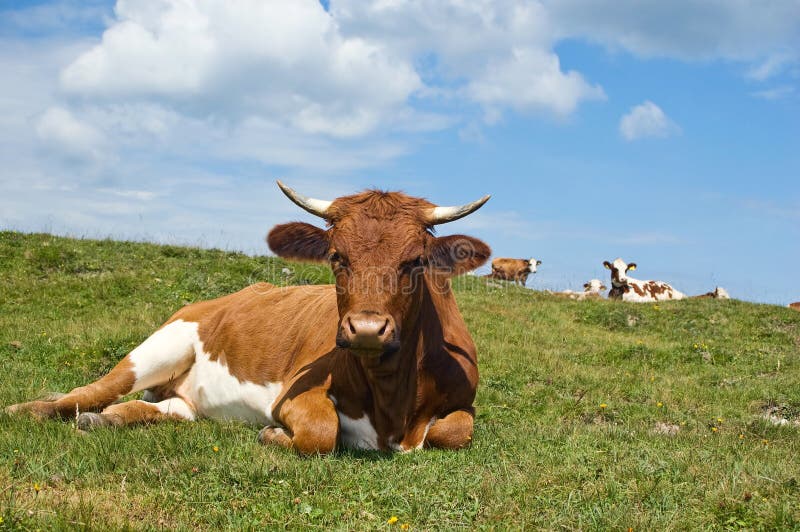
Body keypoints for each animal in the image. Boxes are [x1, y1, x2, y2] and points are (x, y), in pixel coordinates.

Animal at [6, 182, 492, 455]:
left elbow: (456, 431)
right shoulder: (295, 394)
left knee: (157, 408)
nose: (367, 330)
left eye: (416, 261)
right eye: (337, 256)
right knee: (87, 393)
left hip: (182, 397)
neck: (394, 406)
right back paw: (26, 410)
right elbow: (321, 431)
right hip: (157, 348)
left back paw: (106, 420)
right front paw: (273, 437)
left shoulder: (462, 404)